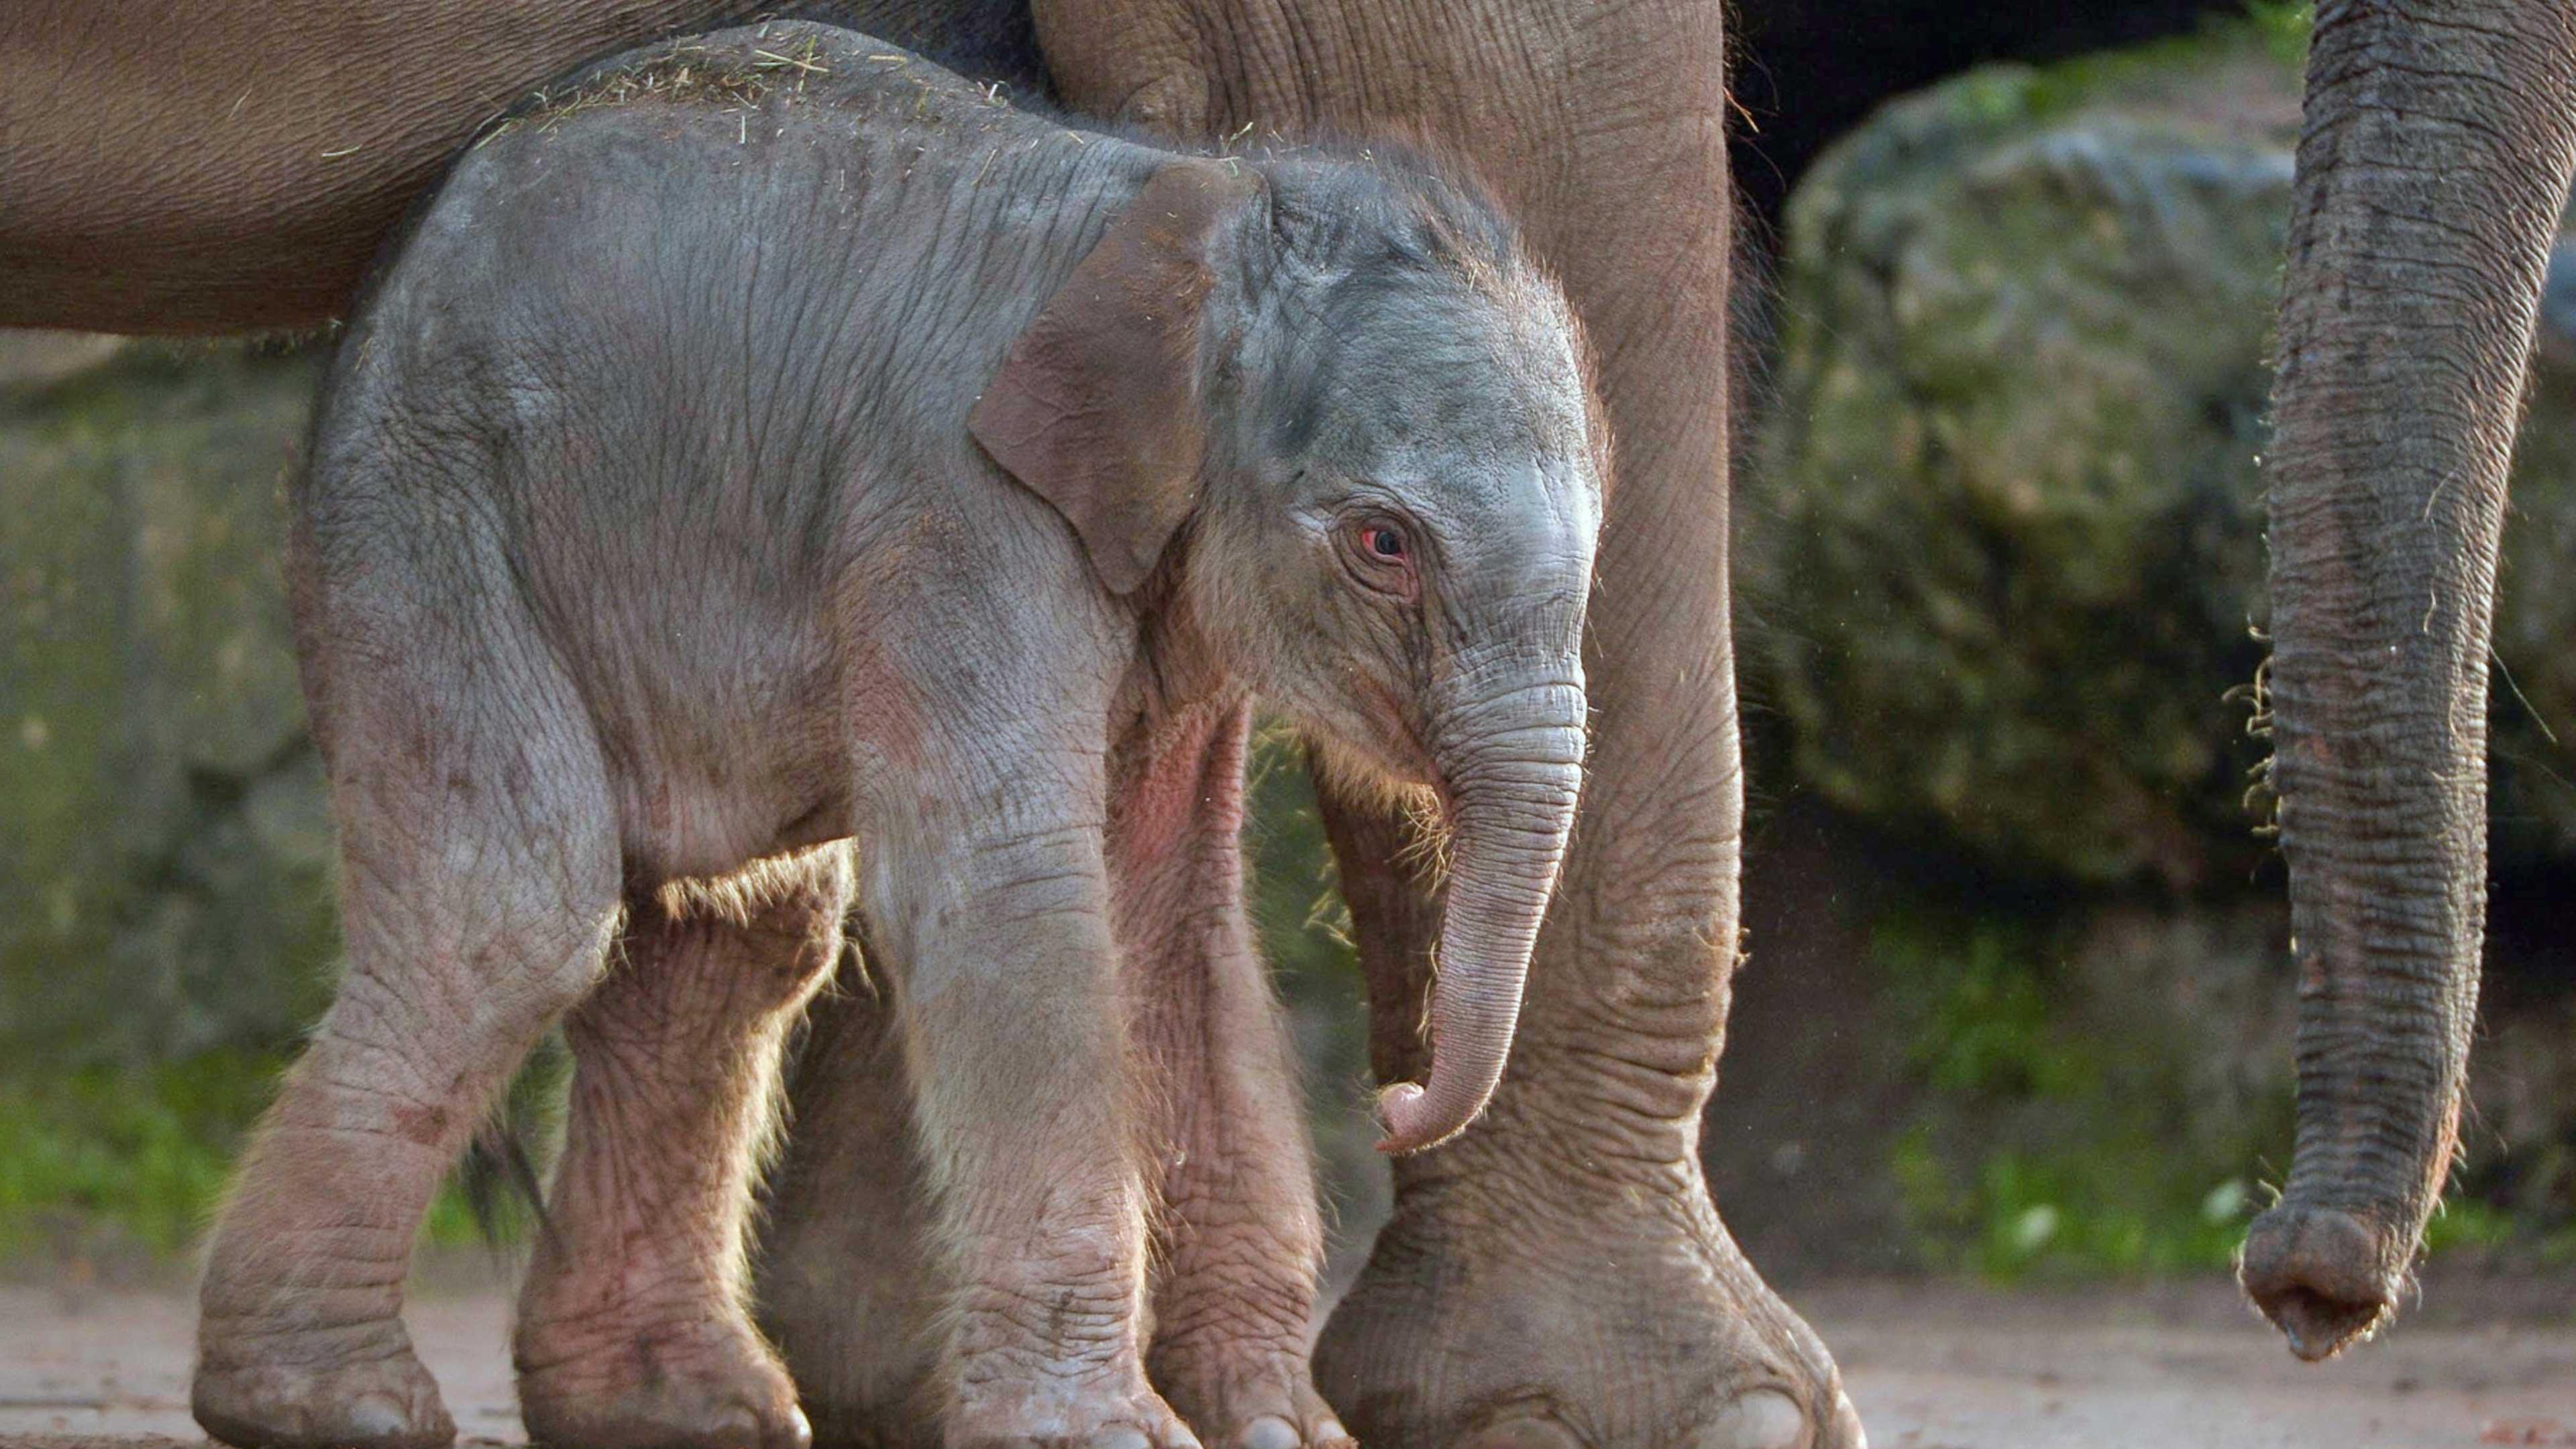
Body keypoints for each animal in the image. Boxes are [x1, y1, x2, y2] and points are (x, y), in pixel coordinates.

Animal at [9, 2, 1866, 1446]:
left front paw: (1271, 1424)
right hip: (421, 509)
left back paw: (681, 1403)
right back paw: (332, 1405)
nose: (1404, 1099)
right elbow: (1015, 899)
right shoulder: (956, 509)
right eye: (1383, 544)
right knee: (512, 903)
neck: (1187, 222)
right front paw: (1111, 1430)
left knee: (727, 934)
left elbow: (1169, 933)